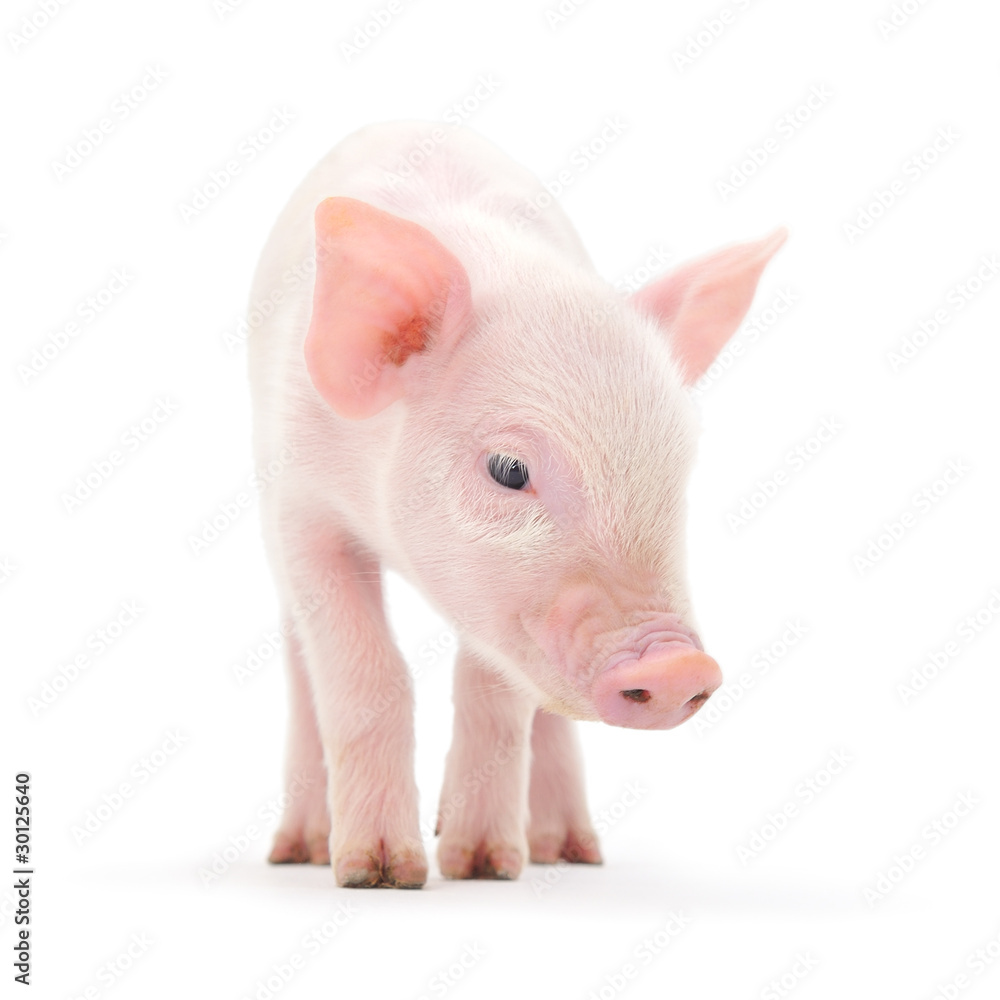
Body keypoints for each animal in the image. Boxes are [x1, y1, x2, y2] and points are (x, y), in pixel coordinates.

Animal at [247, 121, 785, 888]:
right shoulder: (300, 504)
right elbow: (368, 675)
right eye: (509, 469)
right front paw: (379, 874)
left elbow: (496, 690)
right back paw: (300, 851)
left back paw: (566, 852)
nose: (677, 667)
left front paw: (482, 868)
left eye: (677, 471)